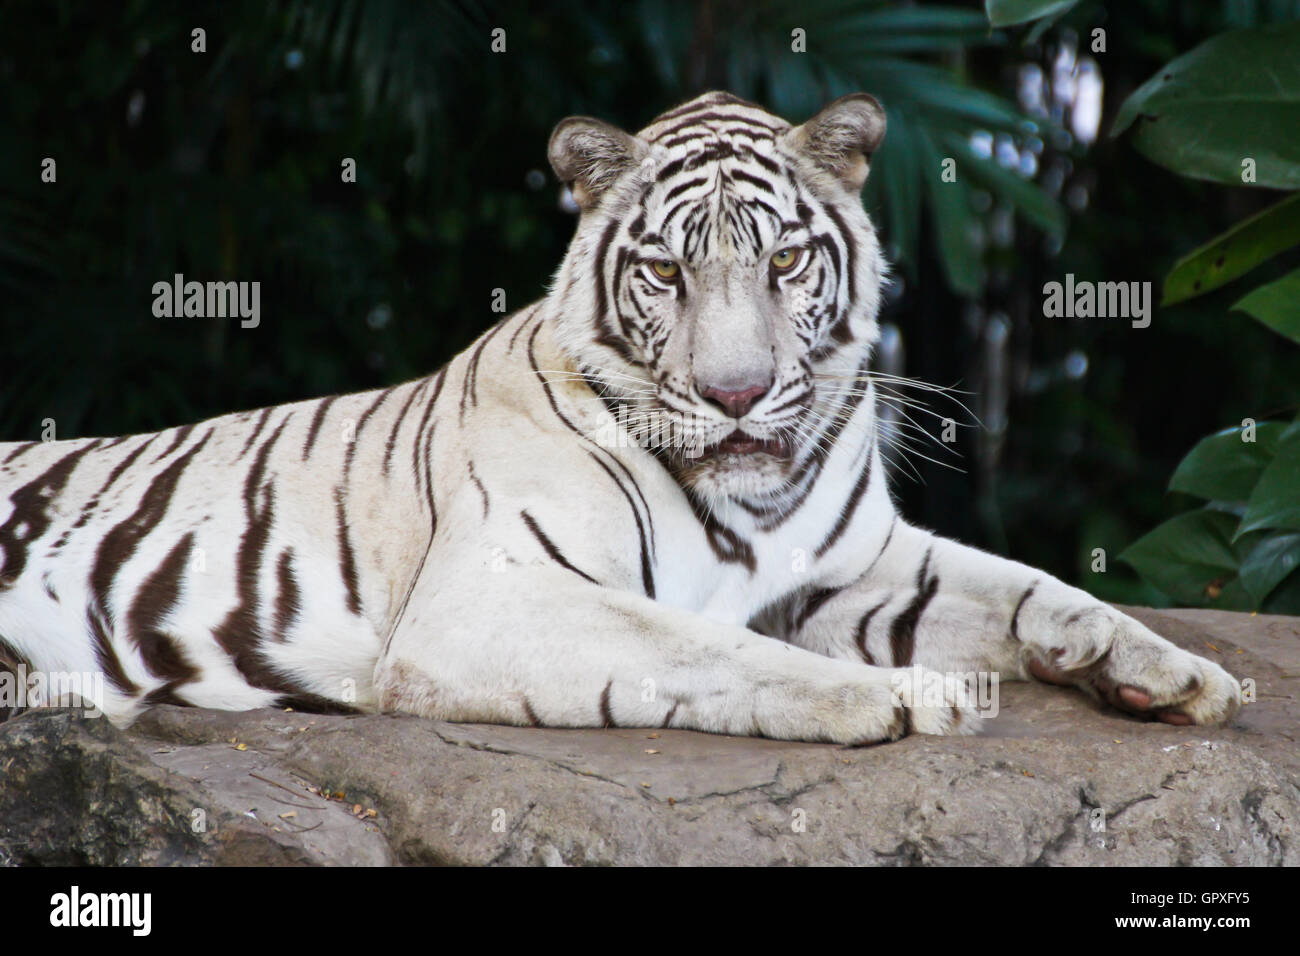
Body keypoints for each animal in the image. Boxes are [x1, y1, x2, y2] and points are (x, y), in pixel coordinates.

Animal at [0, 91, 1241, 742]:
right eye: (664, 272)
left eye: (783, 260)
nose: (735, 393)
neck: (756, 499)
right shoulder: (491, 594)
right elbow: (705, 641)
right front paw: (903, 695)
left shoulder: (857, 563)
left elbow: (1039, 588)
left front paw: (1177, 672)